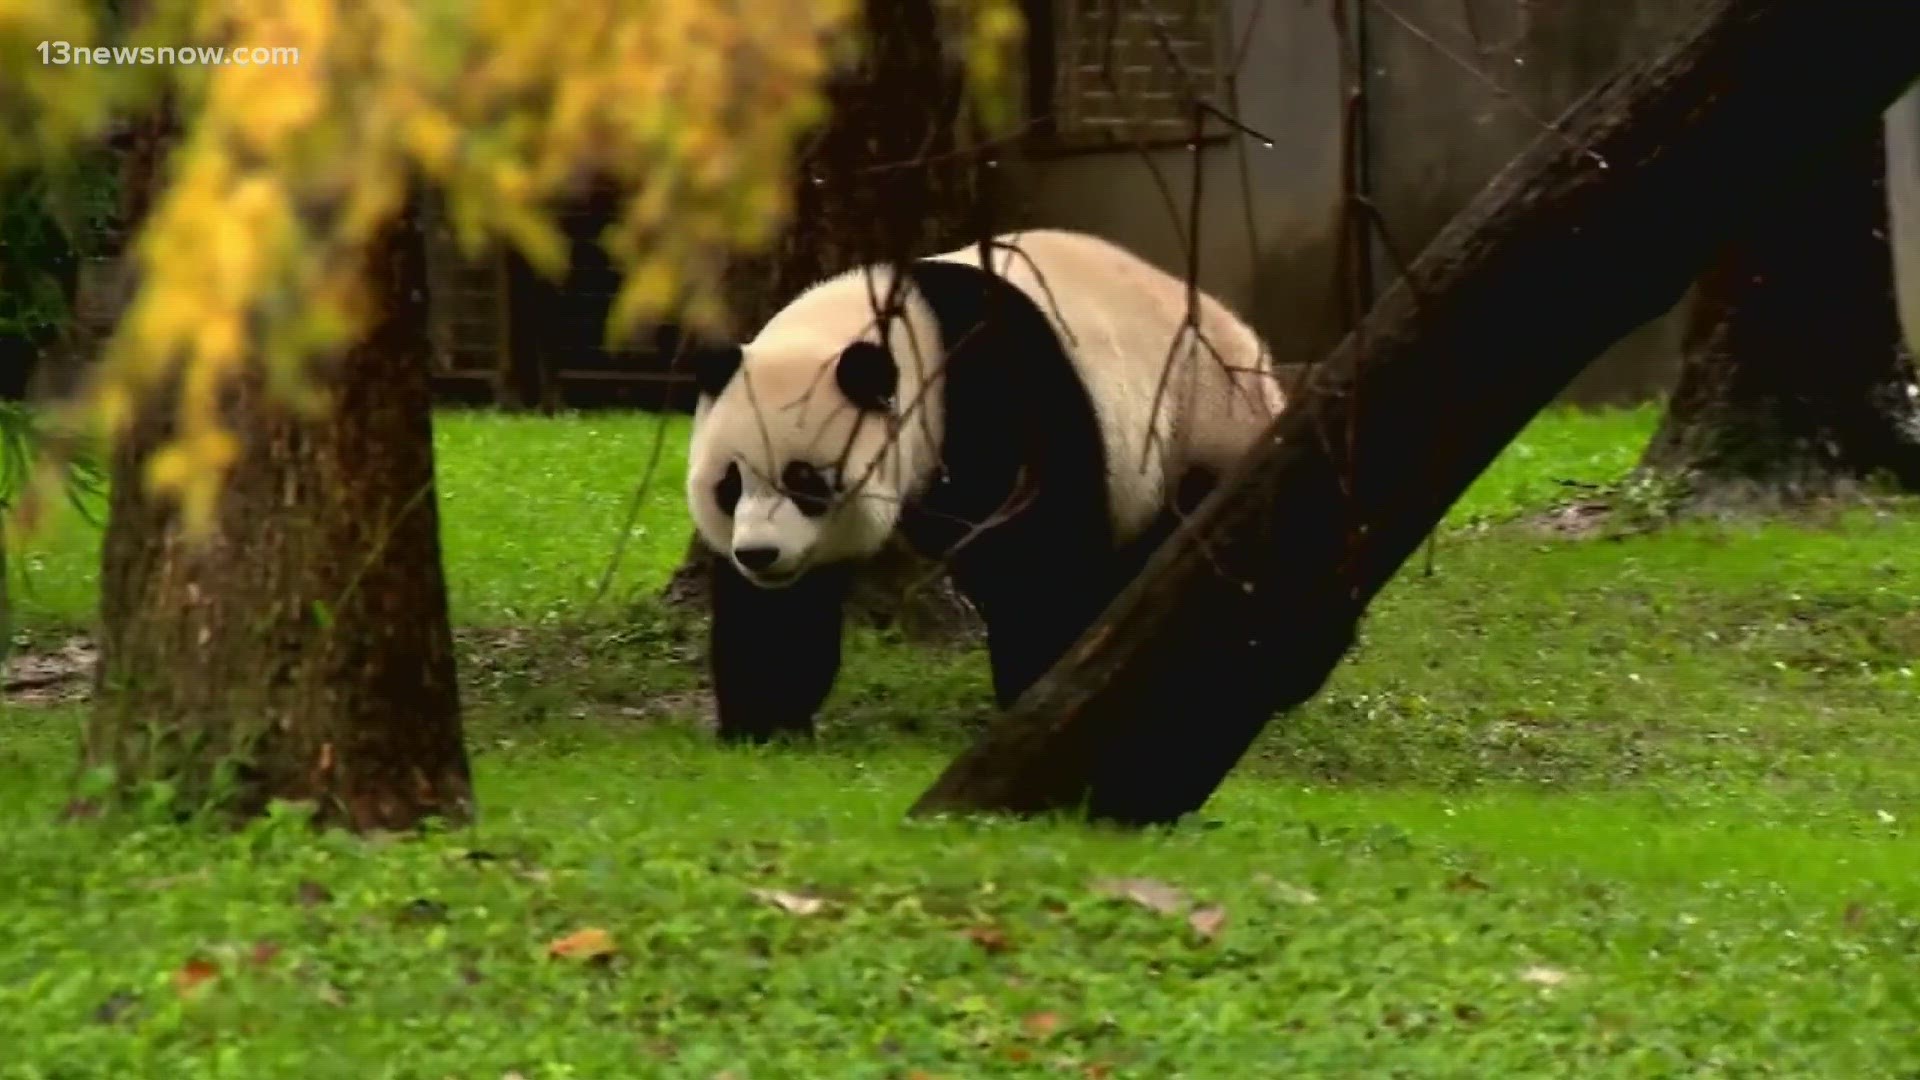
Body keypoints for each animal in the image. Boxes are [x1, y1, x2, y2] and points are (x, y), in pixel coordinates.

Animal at [681, 228, 1285, 743]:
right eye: (729, 486)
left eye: (805, 480)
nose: (758, 554)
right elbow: (780, 612)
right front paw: (764, 723)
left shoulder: (996, 390)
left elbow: (1040, 553)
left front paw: (1036, 692)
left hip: (1201, 427)